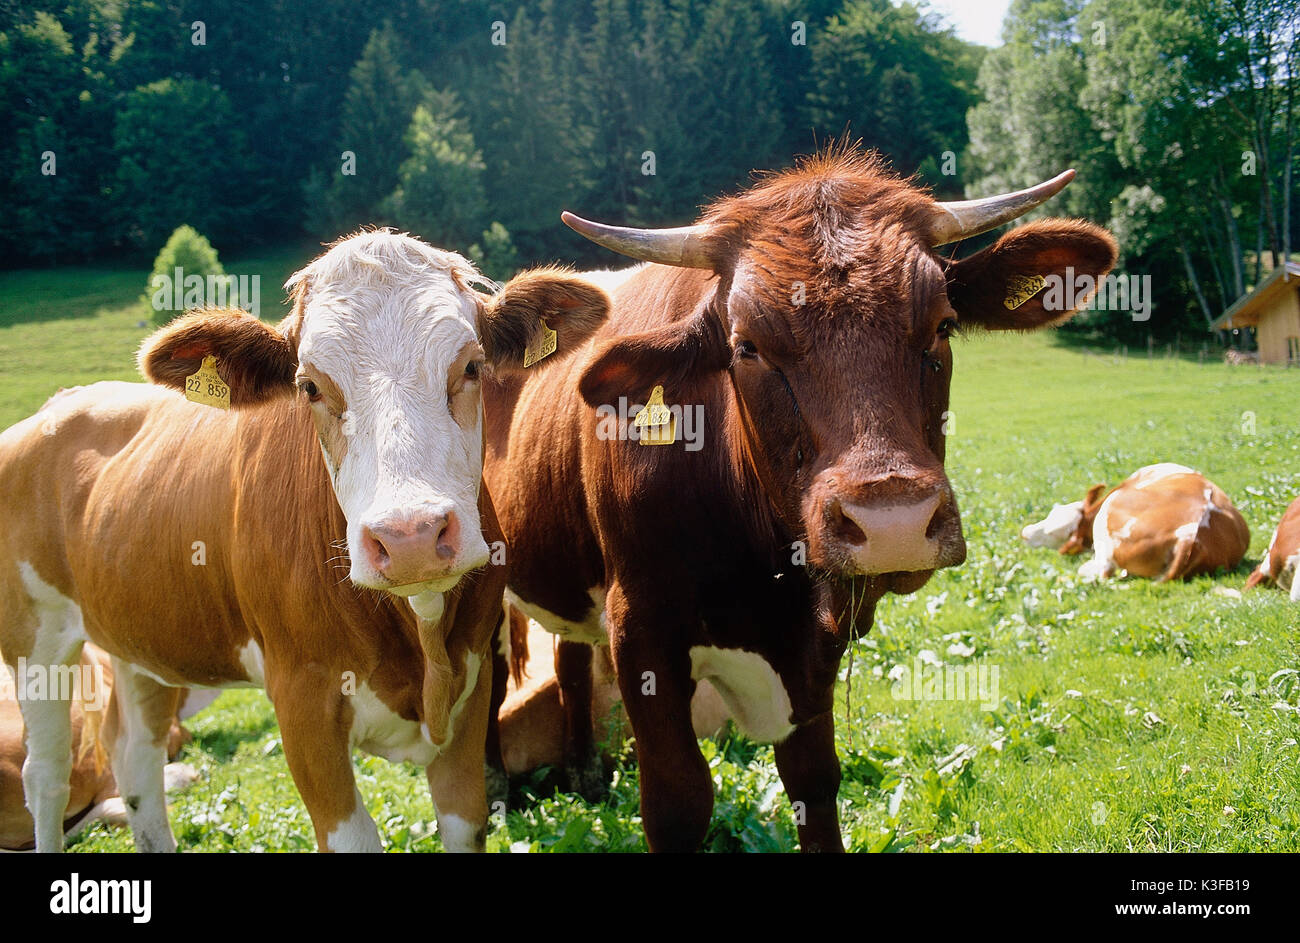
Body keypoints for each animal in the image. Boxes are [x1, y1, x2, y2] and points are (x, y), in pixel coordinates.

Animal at [0, 230, 610, 852]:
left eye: (472, 365)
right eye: (309, 385)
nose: (409, 537)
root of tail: (59, 405)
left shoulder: (474, 682)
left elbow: (466, 820)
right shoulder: (300, 700)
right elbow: (353, 836)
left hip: (139, 639)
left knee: (135, 762)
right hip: (33, 638)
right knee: (46, 775)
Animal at [482, 146, 1118, 851]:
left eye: (943, 326)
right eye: (746, 346)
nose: (893, 522)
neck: (768, 579)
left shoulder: (821, 636)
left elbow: (814, 778)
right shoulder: (641, 629)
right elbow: (678, 800)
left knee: (568, 659)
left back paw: (588, 779)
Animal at [1022, 463, 1249, 581]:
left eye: (1054, 533)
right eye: (1054, 511)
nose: (1025, 532)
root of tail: (1190, 533)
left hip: (1108, 520)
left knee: (1103, 571)